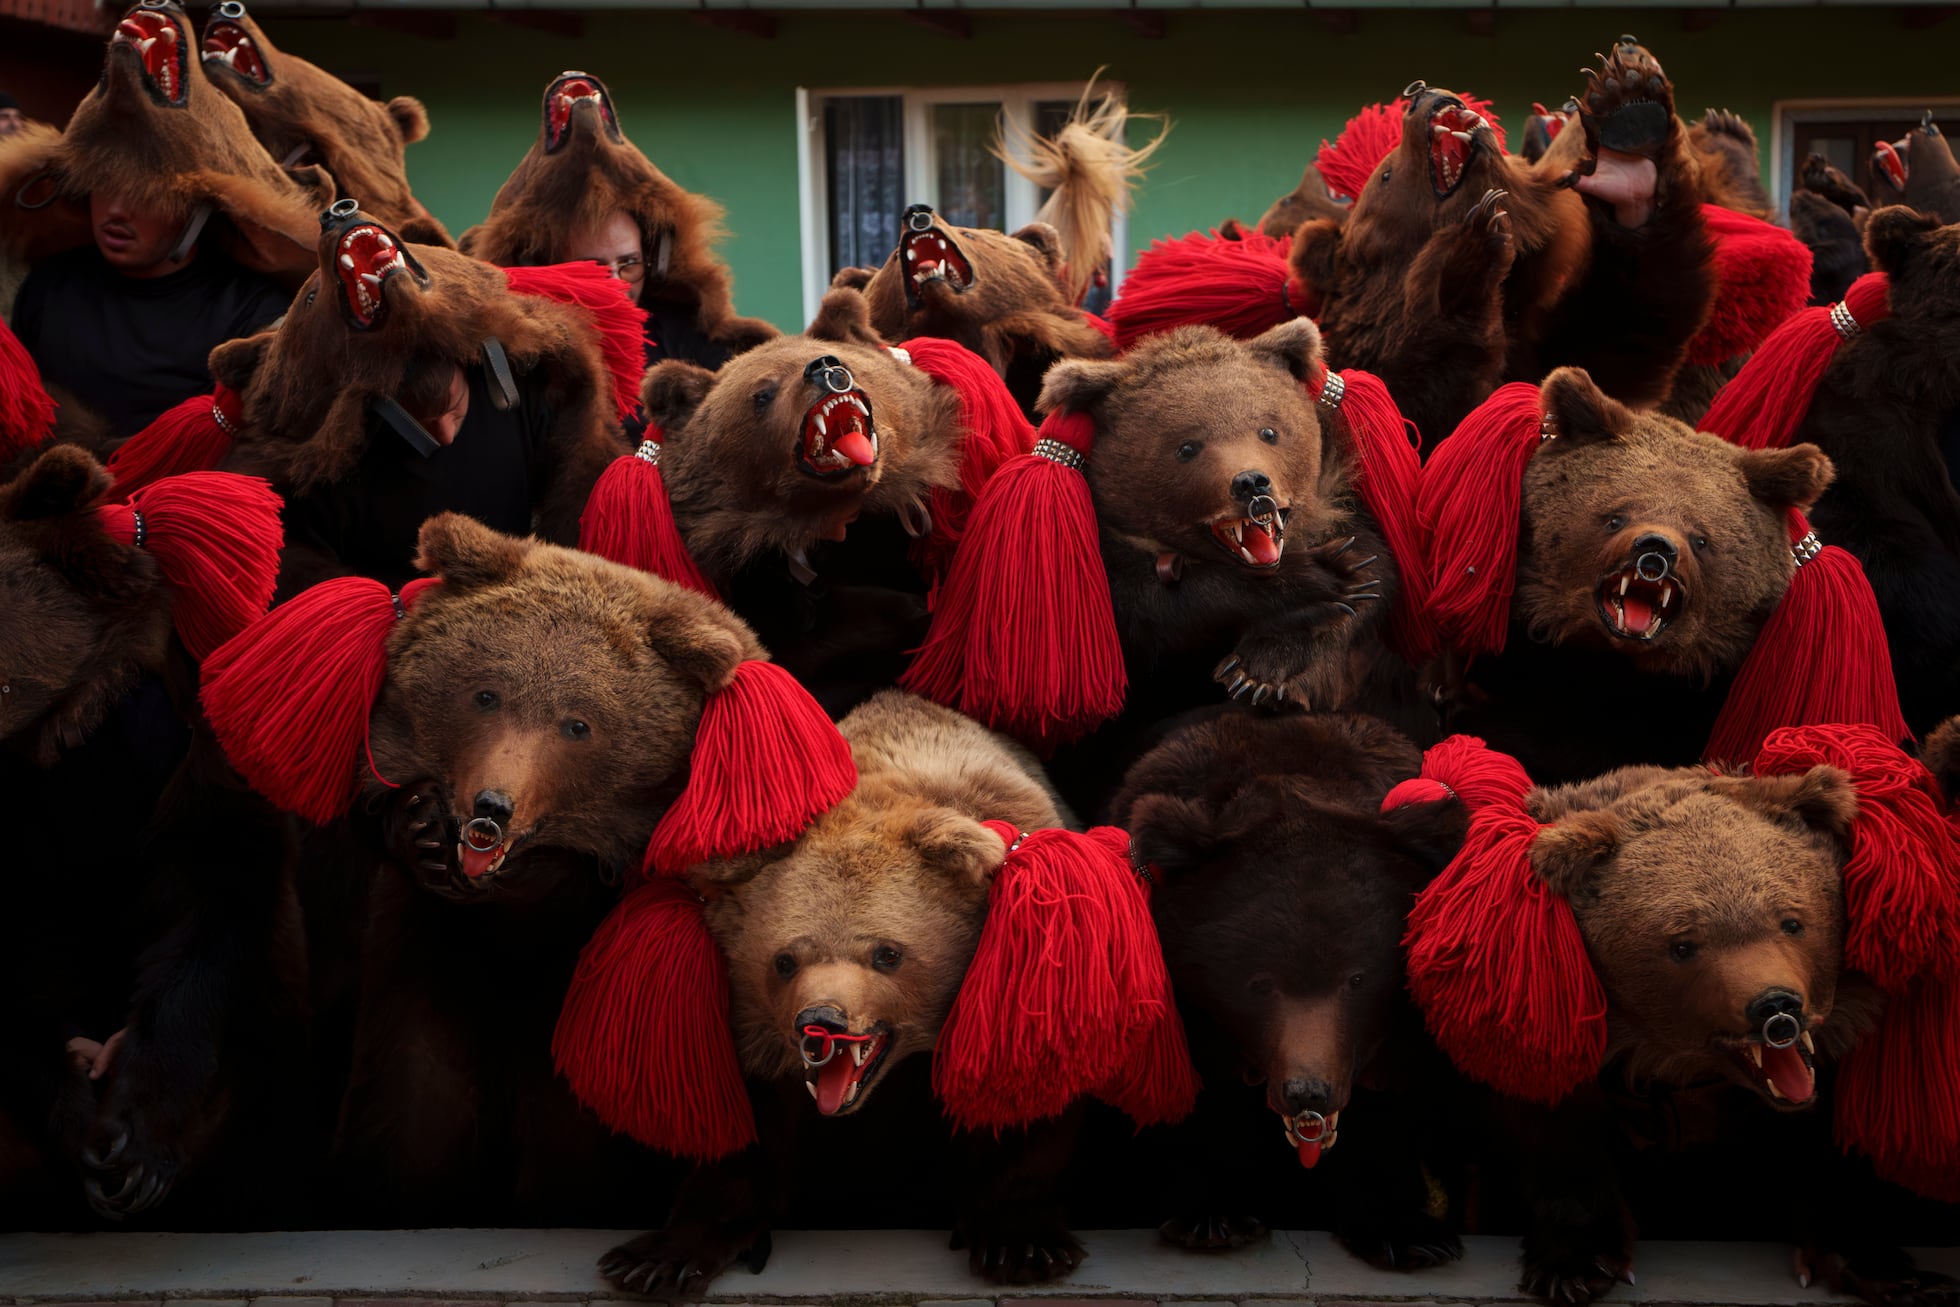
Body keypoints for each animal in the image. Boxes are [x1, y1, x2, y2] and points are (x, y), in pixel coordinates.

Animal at [208, 201, 627, 593]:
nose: (336, 213)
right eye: (309, 297)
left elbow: (579, 476)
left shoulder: (553, 402)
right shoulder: (291, 485)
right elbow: (292, 560)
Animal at [598, 690, 1092, 1294]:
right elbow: (737, 1127)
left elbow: (1024, 1094)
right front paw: (655, 1258)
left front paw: (1022, 1244)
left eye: (888, 952)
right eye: (784, 959)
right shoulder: (745, 1022)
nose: (823, 1021)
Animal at [1113, 708, 1469, 1268]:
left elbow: (1391, 1109)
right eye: (1259, 982)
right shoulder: (1188, 1003)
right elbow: (1196, 1099)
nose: (1308, 1091)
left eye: (1357, 978)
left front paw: (1408, 1232)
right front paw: (1212, 1217)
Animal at [1289, 38, 1716, 447]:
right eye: (1386, 175)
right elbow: (1434, 412)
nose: (1419, 94)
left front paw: (1628, 111)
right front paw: (1464, 261)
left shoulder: (1555, 339)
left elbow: (1632, 320)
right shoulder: (1393, 375)